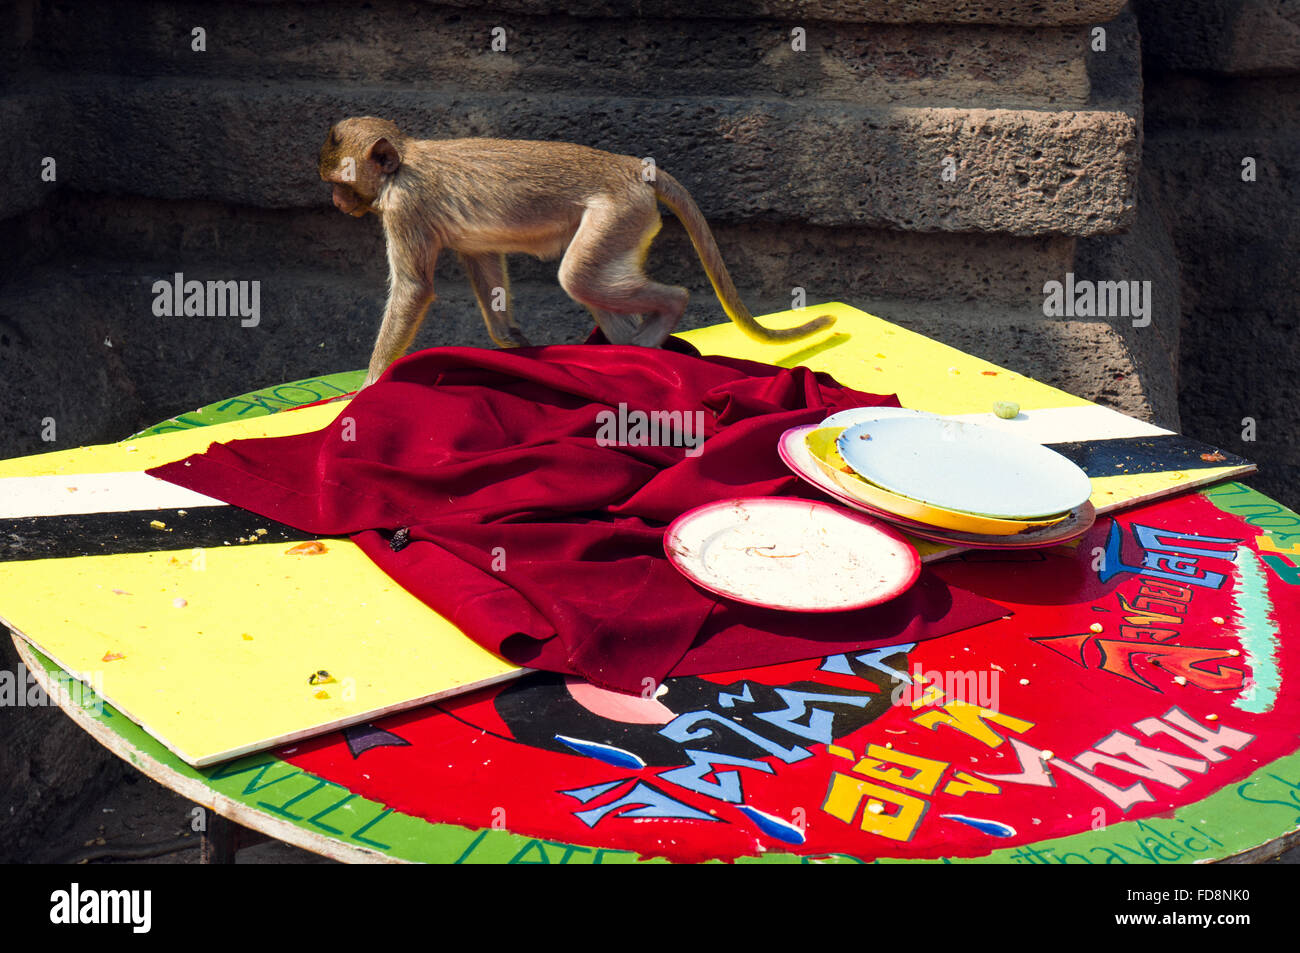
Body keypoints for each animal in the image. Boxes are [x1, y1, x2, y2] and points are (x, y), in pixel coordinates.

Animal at [318, 117, 835, 387]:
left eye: (341, 181)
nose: (335, 202)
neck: (402, 163)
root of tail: (635, 169)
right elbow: (483, 259)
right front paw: (511, 340)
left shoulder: (404, 207)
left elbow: (413, 289)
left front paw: (369, 386)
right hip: (629, 222)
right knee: (593, 282)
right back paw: (631, 353)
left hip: (619, 211)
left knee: (581, 277)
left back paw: (666, 316)